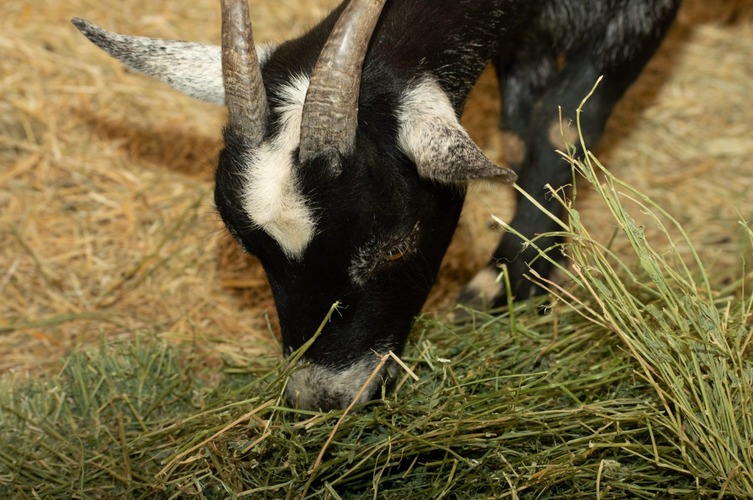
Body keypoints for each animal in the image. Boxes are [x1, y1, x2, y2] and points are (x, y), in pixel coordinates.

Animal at [73, 0, 680, 411]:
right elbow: (516, 130)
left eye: (394, 245)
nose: (322, 398)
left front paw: (509, 282)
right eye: (251, 250)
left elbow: (562, 124)